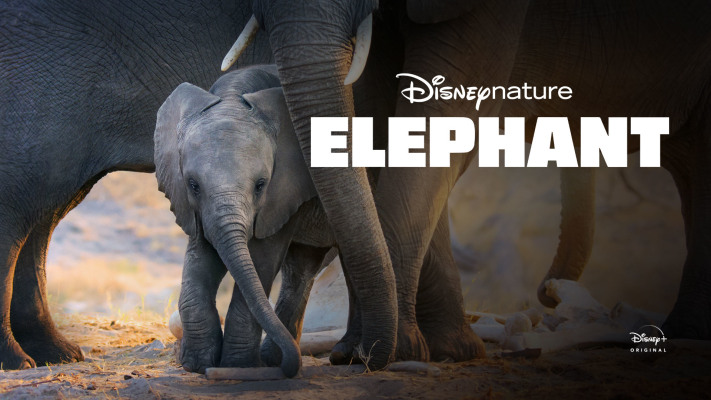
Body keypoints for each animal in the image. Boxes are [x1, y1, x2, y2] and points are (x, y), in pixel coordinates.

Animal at [155, 65, 483, 375]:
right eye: (193, 185)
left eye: (261, 185)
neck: (234, 97)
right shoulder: (193, 205)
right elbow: (201, 257)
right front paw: (196, 365)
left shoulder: (284, 188)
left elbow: (260, 259)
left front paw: (236, 367)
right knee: (303, 267)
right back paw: (280, 358)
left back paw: (346, 355)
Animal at [221, 0, 711, 358]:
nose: (549, 293)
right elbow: (378, 104)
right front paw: (387, 351)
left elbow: (445, 112)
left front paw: (397, 351)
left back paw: (684, 333)